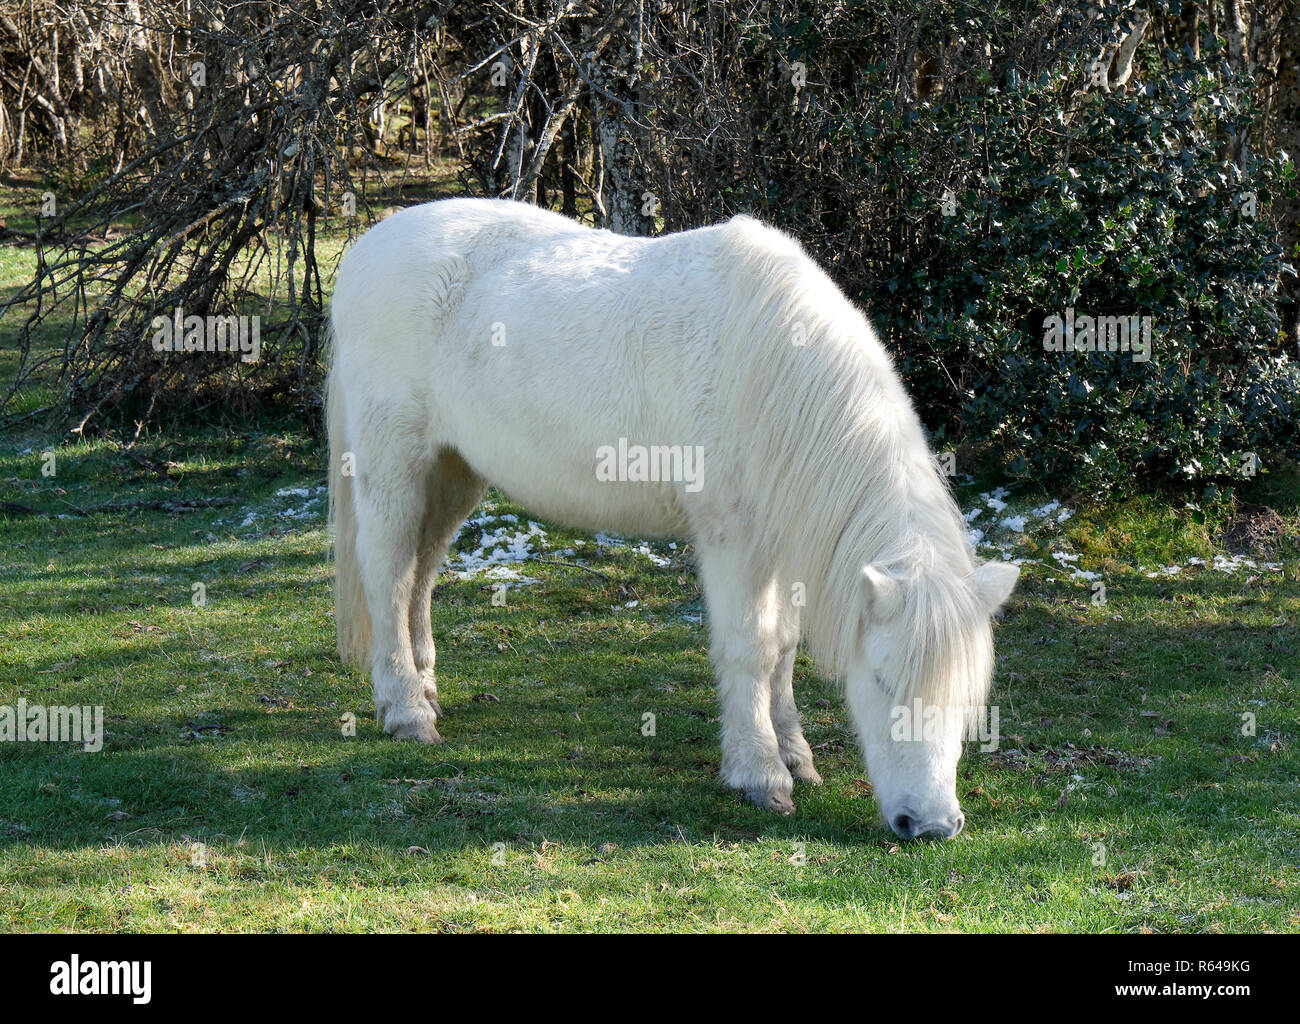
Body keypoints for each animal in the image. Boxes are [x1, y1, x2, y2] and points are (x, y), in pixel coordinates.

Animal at [326, 198, 1019, 840]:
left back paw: (427, 689)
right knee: (389, 575)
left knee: (420, 574)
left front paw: (795, 755)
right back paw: (407, 711)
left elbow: (783, 647)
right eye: (879, 679)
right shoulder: (734, 543)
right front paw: (759, 774)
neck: (768, 369)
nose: (930, 826)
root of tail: (364, 251)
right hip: (395, 467)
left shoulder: (778, 545)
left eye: (967, 693)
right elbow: (751, 648)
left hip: (453, 472)